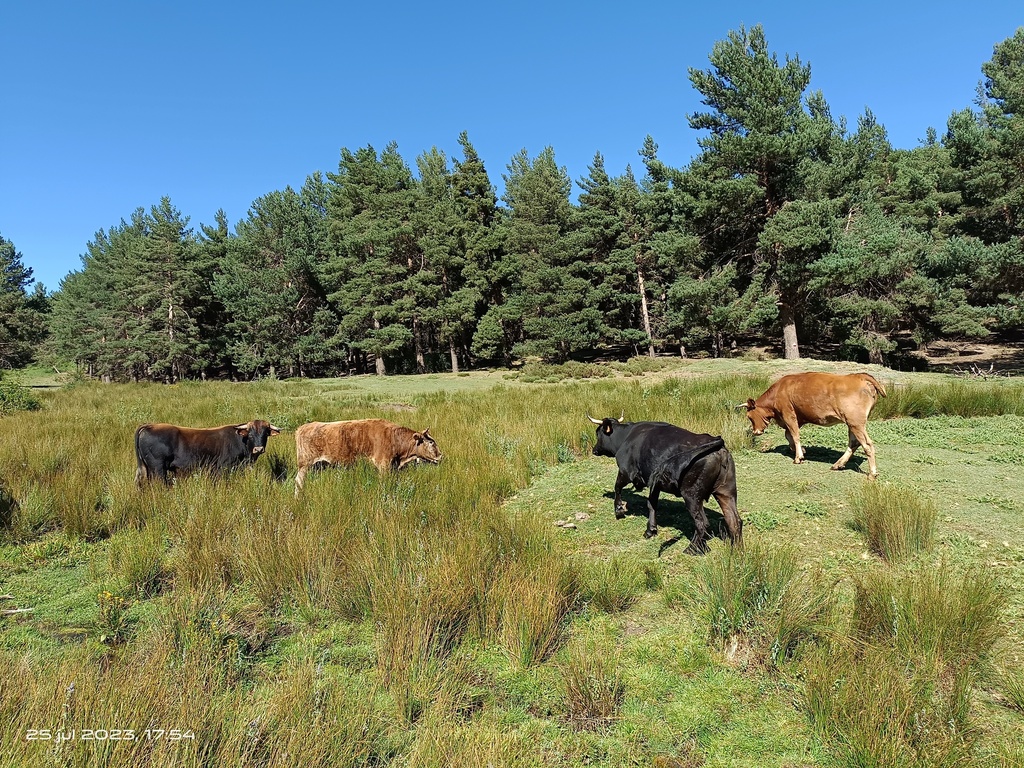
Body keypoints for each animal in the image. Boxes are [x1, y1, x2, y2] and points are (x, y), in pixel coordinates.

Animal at [135, 420, 281, 486]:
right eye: (250, 434)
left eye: (265, 434)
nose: (258, 449)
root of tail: (149, 426)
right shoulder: (223, 467)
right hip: (158, 469)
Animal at [294, 418, 442, 494]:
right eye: (431, 442)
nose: (440, 456)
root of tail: (302, 427)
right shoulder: (383, 465)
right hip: (304, 465)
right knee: (298, 481)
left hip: (318, 466)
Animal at [588, 415, 742, 553]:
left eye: (597, 433)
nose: (594, 450)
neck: (625, 437)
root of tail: (717, 444)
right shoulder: (654, 485)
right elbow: (651, 504)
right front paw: (650, 530)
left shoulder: (626, 472)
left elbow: (617, 487)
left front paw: (619, 510)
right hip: (726, 492)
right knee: (734, 521)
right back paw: (736, 550)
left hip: (692, 495)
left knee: (702, 523)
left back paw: (692, 548)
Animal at [742, 372, 887, 477]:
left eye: (749, 417)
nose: (755, 432)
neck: (778, 390)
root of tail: (859, 376)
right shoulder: (798, 417)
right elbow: (789, 435)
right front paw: (802, 451)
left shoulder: (788, 414)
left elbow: (794, 435)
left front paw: (798, 457)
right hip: (851, 423)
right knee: (854, 443)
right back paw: (838, 464)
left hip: (855, 422)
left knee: (867, 444)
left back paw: (872, 473)